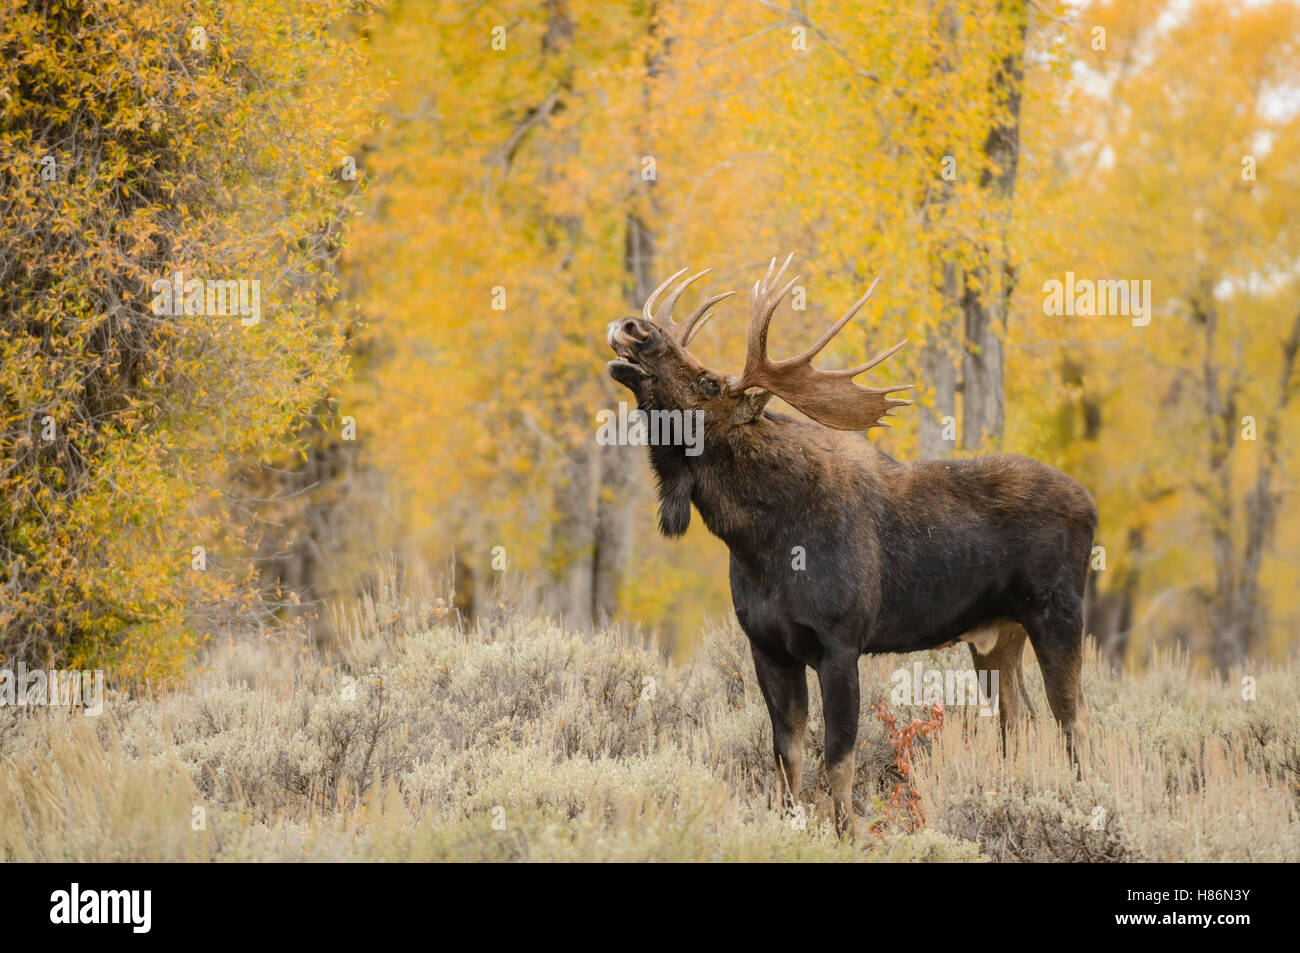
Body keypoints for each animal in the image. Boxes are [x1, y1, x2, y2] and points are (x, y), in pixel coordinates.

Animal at [606, 254, 1097, 836]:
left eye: (709, 382)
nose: (634, 328)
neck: (758, 541)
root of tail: (1092, 504)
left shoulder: (840, 644)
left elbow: (838, 762)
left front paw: (844, 834)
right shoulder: (767, 646)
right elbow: (788, 757)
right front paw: (791, 825)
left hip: (1057, 612)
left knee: (1073, 717)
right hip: (998, 634)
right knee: (1018, 715)